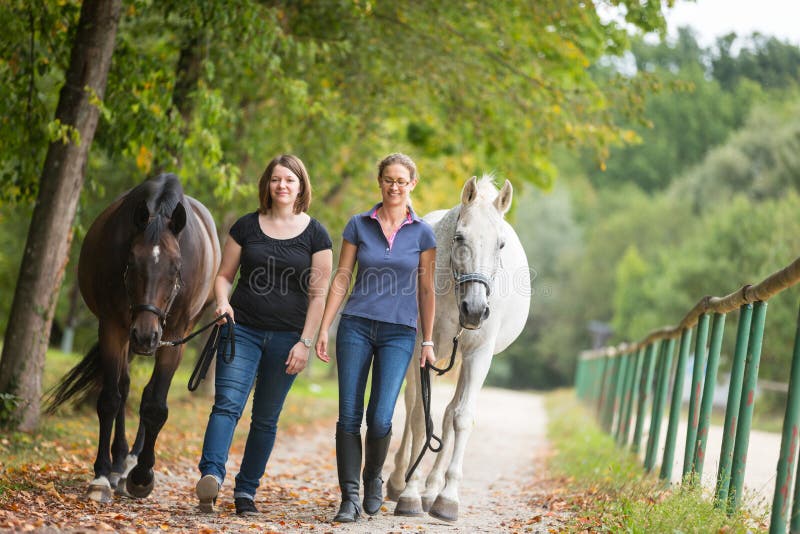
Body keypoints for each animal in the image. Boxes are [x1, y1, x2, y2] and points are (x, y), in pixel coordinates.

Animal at [47, 173, 220, 503]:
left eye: (176, 268)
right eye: (131, 263)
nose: (146, 335)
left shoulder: (174, 337)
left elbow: (155, 405)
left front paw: (142, 475)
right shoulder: (113, 328)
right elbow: (110, 400)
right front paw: (102, 475)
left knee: (146, 394)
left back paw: (131, 462)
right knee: (125, 389)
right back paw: (118, 464)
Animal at [386, 175, 531, 521]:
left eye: (500, 244)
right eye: (459, 237)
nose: (475, 310)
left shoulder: (479, 354)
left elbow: (461, 417)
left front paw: (447, 499)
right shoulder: (426, 349)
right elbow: (419, 417)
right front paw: (409, 495)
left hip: (463, 359)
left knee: (450, 413)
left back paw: (431, 490)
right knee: (411, 403)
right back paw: (399, 482)